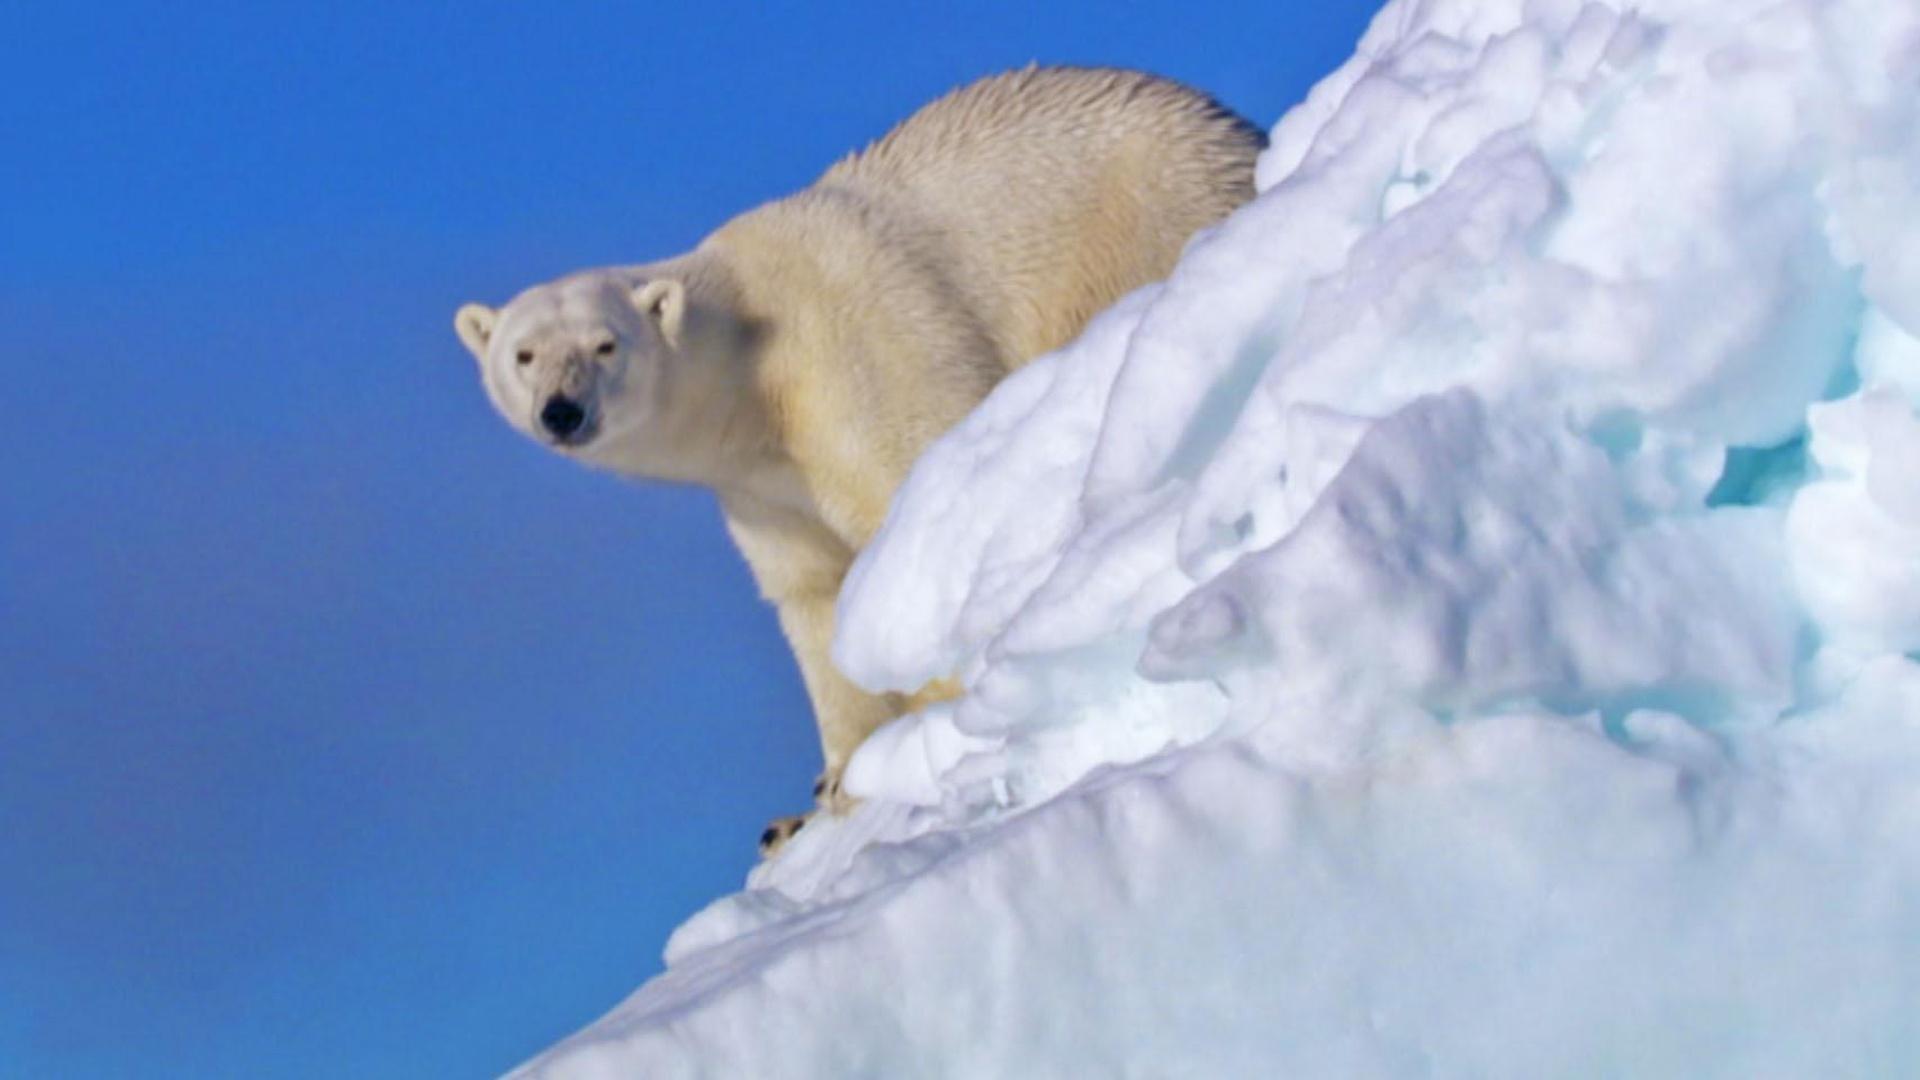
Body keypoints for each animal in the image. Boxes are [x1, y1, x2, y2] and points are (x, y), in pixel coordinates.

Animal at [454, 66, 1264, 852]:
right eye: (523, 354)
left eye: (605, 344)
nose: (562, 411)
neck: (751, 369)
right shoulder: (761, 491)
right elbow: (811, 592)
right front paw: (823, 793)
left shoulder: (850, 358)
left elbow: (920, 513)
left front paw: (942, 716)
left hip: (1138, 225)